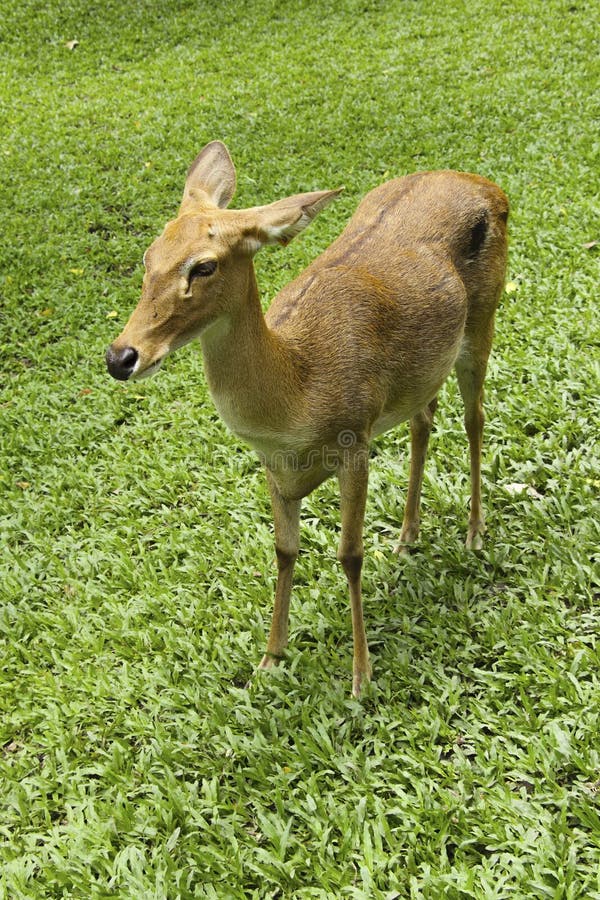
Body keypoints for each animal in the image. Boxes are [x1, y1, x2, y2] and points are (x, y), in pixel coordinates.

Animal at [106, 141, 509, 696]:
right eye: (148, 256)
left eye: (204, 267)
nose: (121, 357)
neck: (298, 394)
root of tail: (489, 186)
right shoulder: (273, 465)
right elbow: (283, 549)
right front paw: (269, 659)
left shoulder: (355, 437)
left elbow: (349, 554)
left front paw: (361, 677)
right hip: (425, 371)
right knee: (424, 420)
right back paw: (407, 537)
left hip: (484, 320)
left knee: (475, 418)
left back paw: (474, 533)